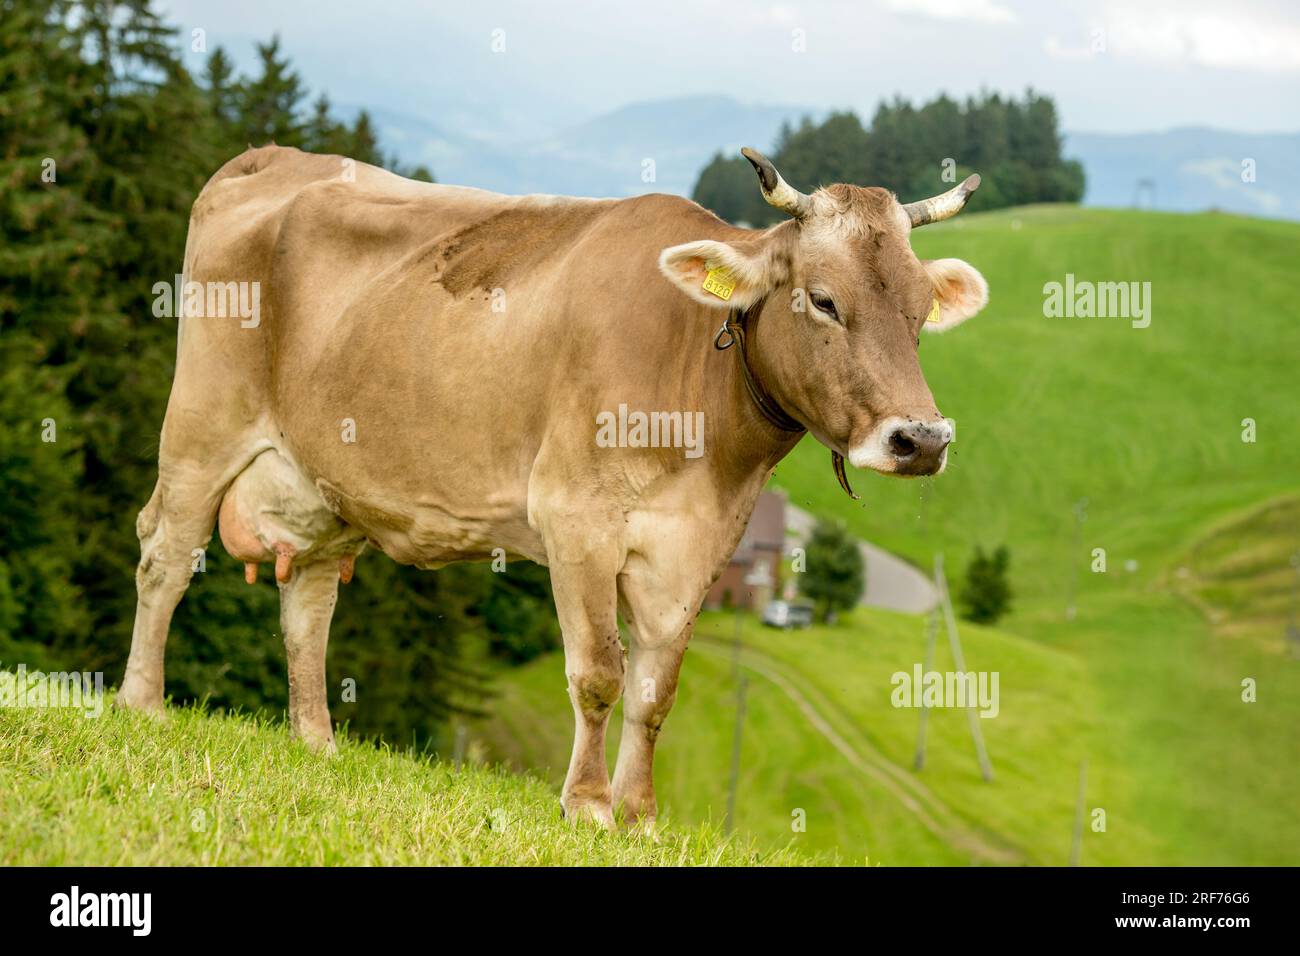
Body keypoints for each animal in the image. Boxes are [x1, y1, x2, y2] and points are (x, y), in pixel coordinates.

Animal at [118, 144, 987, 829]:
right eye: (824, 300)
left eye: (919, 315)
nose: (922, 439)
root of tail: (269, 159)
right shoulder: (578, 518)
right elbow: (600, 671)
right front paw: (590, 803)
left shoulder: (695, 546)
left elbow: (656, 688)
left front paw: (640, 814)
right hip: (202, 423)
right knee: (166, 553)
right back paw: (142, 702)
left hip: (323, 477)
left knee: (309, 600)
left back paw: (317, 742)